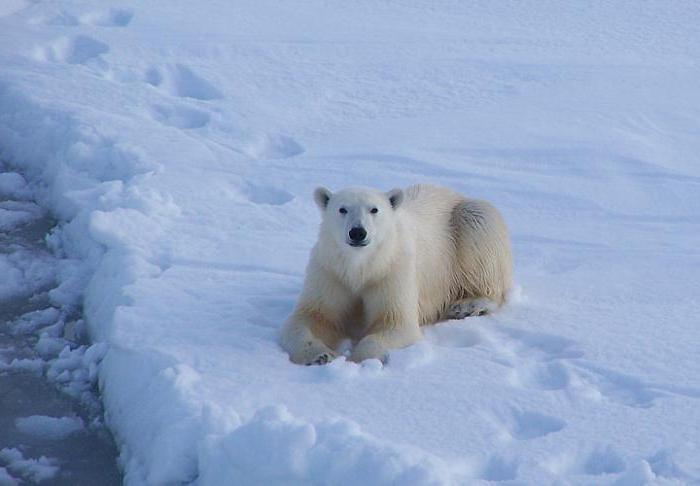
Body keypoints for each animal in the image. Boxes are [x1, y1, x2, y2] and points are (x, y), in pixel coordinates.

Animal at [280, 185, 516, 364]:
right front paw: (321, 355)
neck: (363, 266)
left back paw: (466, 305)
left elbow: (396, 322)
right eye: (342, 209)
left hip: (466, 222)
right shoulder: (331, 272)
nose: (357, 232)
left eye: (374, 209)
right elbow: (310, 317)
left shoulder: (392, 271)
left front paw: (360, 359)